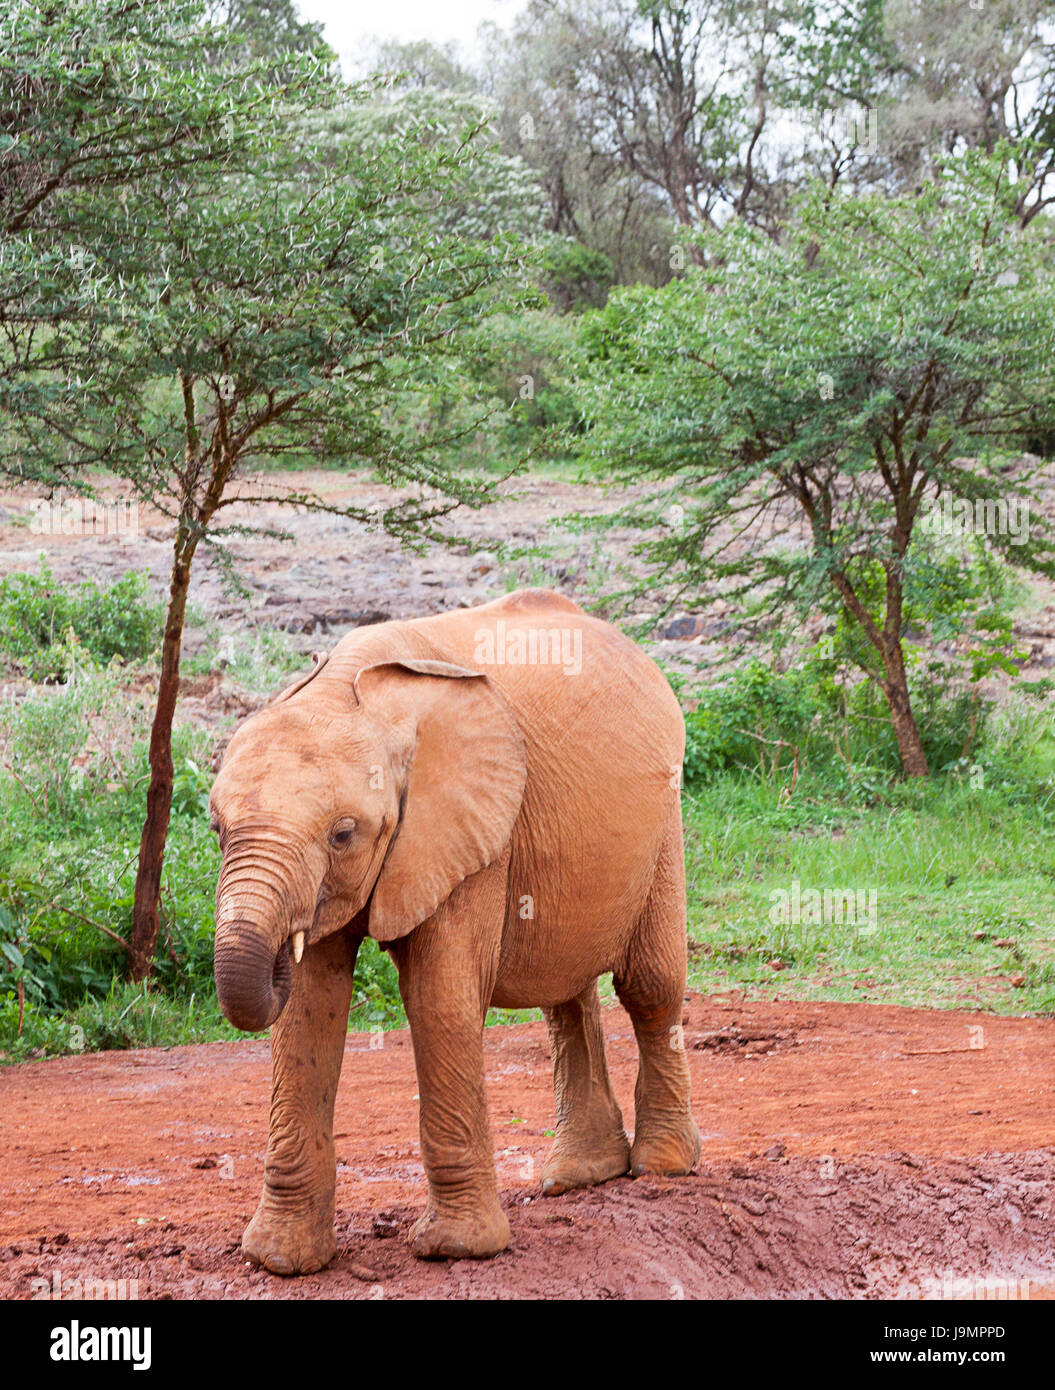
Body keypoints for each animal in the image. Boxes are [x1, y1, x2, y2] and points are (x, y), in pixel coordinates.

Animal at [209, 587, 700, 1273]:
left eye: (343, 834)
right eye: (216, 829)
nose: (278, 952)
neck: (349, 692)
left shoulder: (474, 831)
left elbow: (438, 996)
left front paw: (456, 1251)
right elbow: (308, 1010)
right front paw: (280, 1261)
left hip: (663, 815)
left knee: (650, 987)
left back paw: (662, 1167)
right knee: (564, 988)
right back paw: (578, 1177)